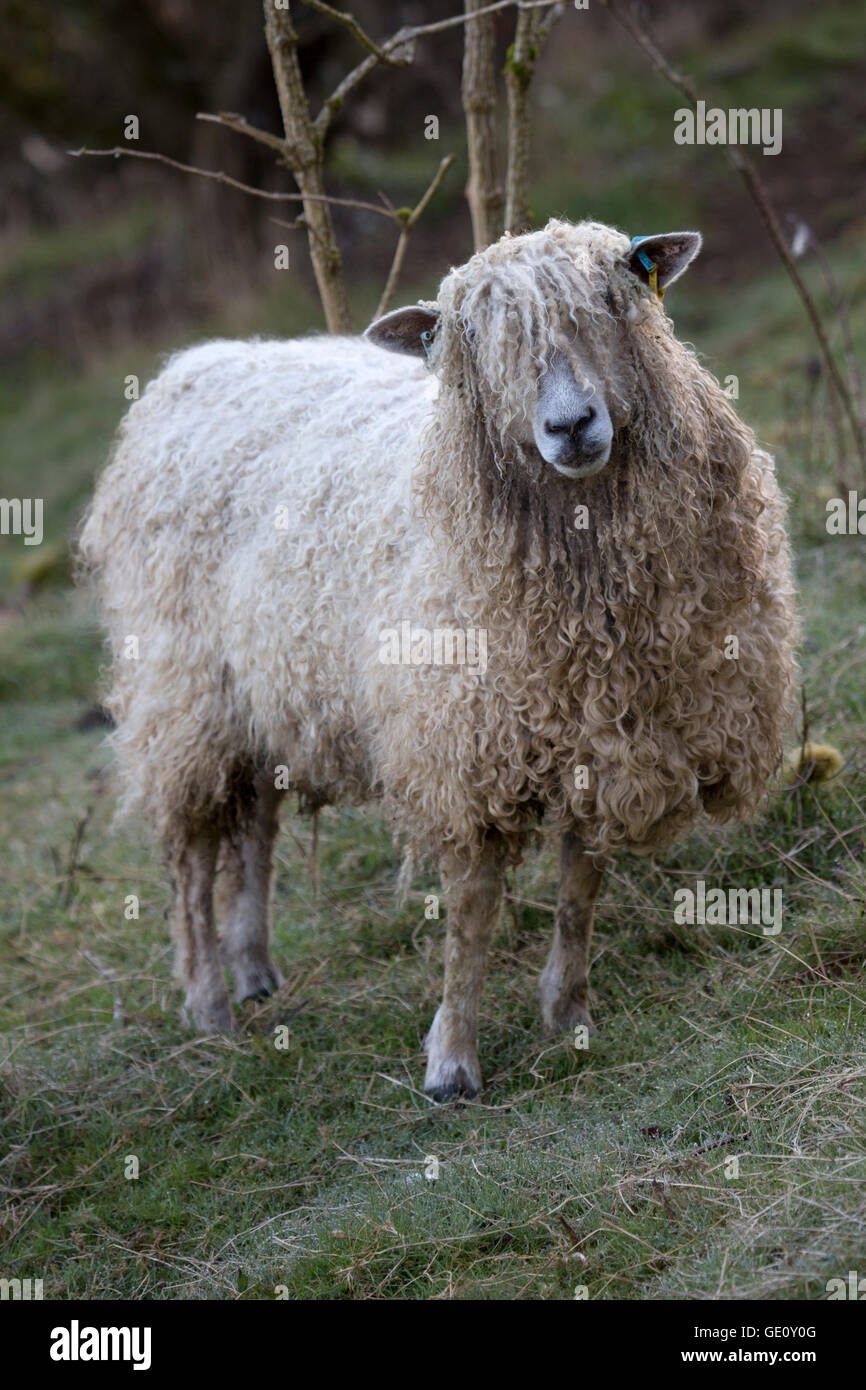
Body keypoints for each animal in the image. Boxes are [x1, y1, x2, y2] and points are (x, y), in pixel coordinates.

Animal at [78, 218, 797, 1100]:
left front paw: (569, 1013)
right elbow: (472, 910)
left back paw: (253, 970)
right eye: (472, 339)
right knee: (190, 852)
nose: (570, 426)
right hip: (183, 688)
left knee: (257, 825)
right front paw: (452, 1059)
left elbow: (580, 887)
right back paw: (210, 1002)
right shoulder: (462, 747)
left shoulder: (608, 731)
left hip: (266, 686)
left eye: (611, 297)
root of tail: (196, 364)